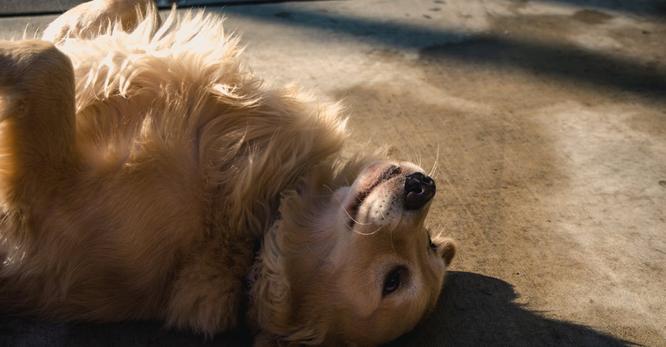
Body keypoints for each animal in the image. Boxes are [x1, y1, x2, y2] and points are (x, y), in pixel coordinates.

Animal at [0, 1, 454, 346]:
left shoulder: (48, 195)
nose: (423, 186)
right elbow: (93, 28)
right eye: (430, 243)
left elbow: (50, 62)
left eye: (394, 281)